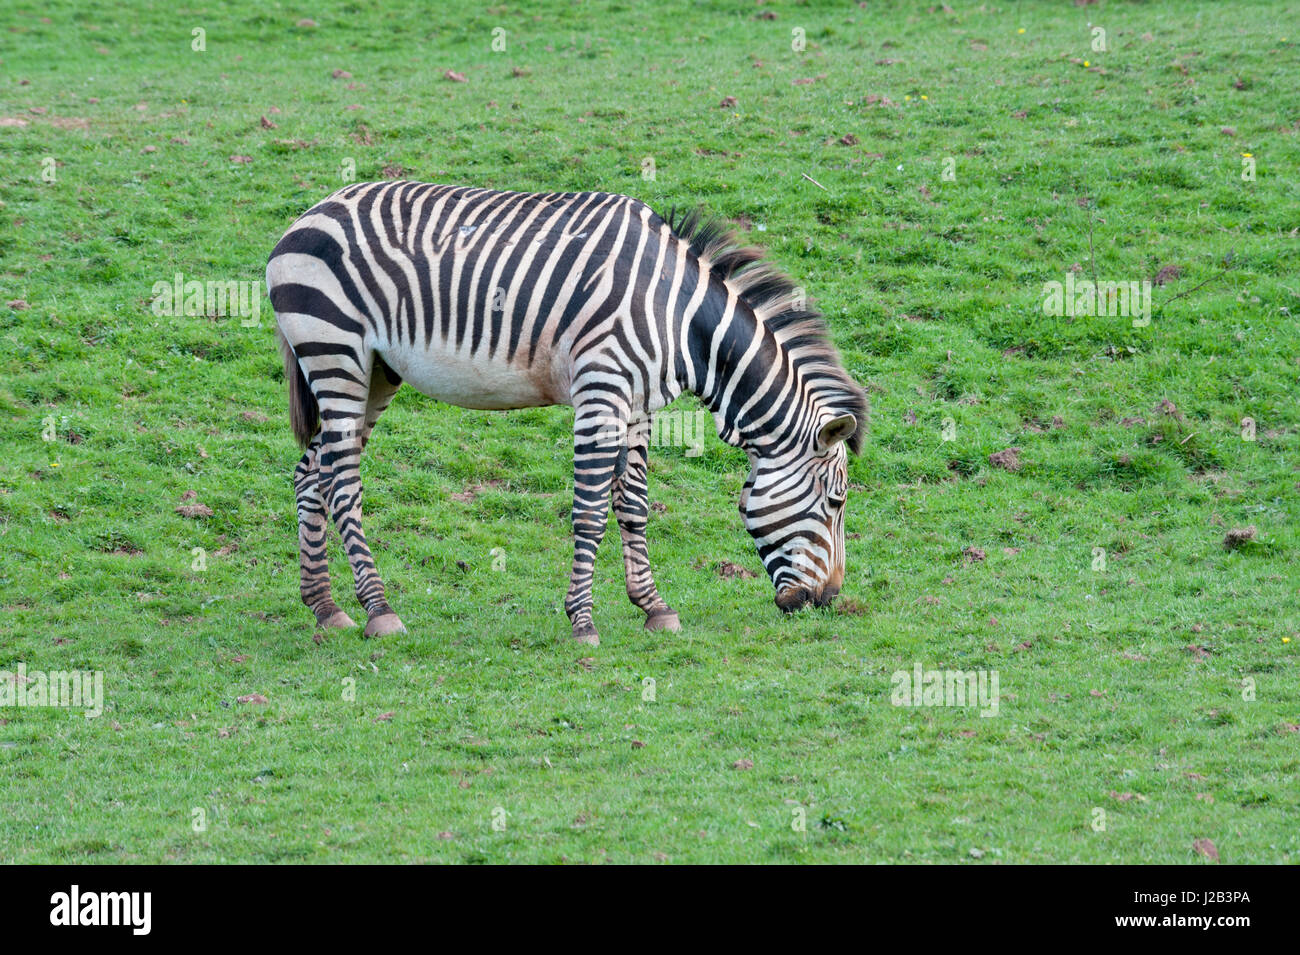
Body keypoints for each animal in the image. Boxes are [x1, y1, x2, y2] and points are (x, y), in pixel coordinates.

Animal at [267, 181, 867, 645]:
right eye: (836, 502)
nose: (828, 599)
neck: (681, 317)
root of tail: (307, 215)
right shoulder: (601, 390)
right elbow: (590, 511)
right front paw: (582, 622)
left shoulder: (638, 404)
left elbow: (633, 506)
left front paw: (654, 608)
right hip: (335, 353)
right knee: (343, 482)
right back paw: (379, 611)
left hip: (375, 371)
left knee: (311, 473)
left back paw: (325, 607)